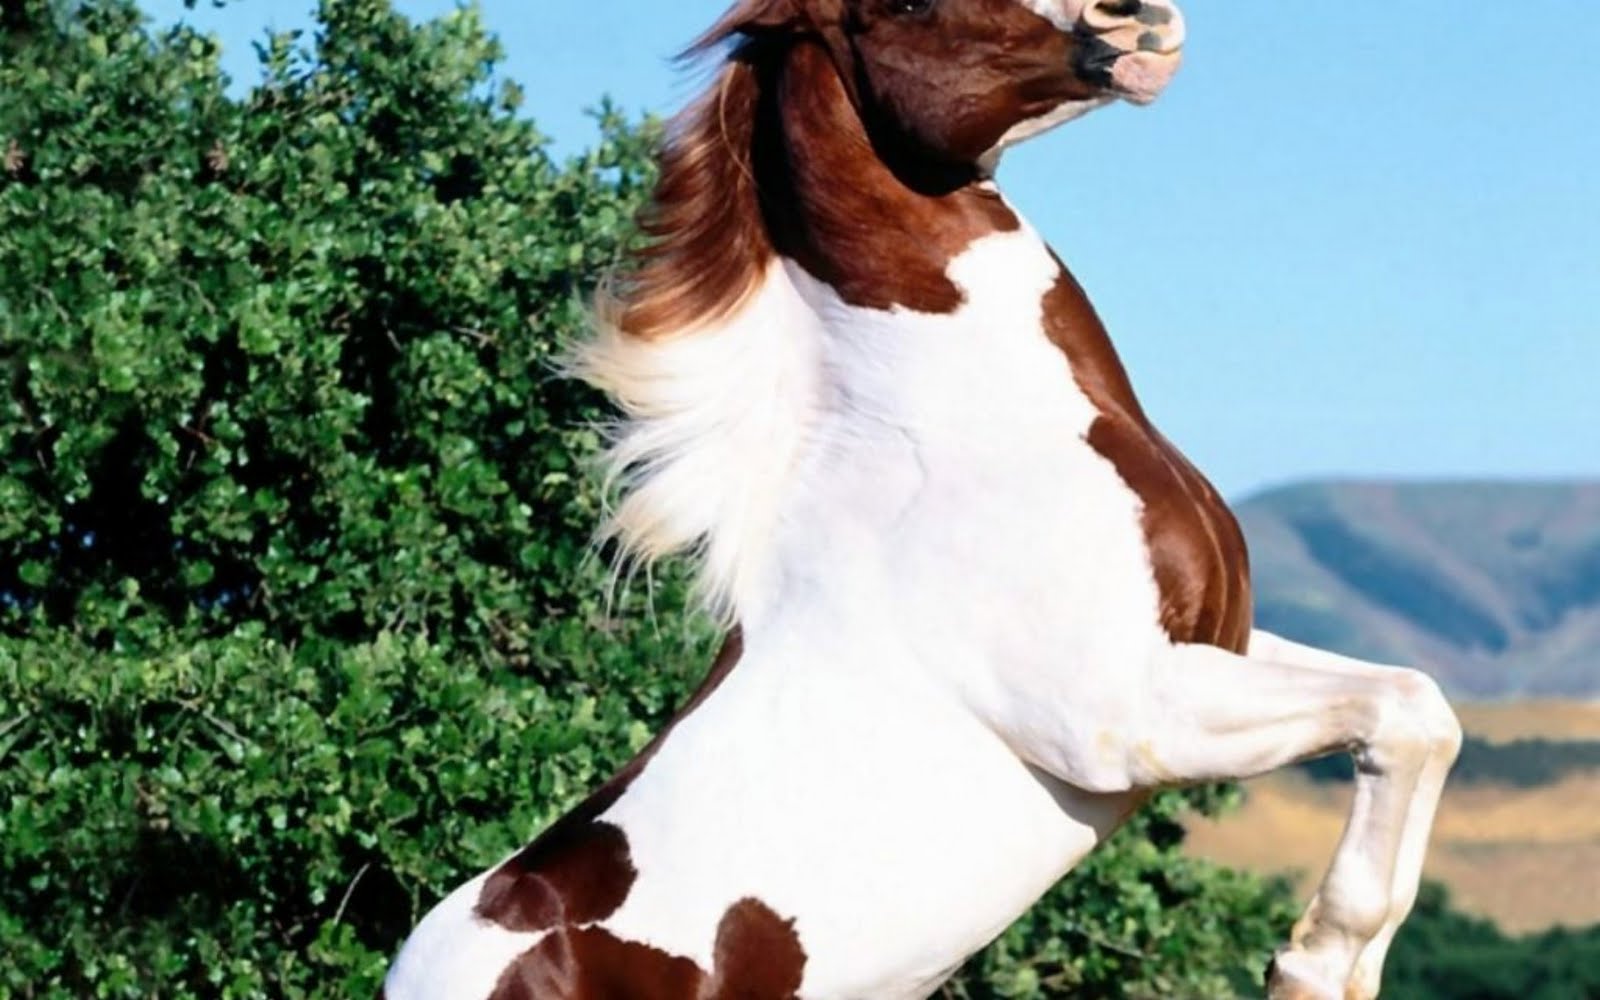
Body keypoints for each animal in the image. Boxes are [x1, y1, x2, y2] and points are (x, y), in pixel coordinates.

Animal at [385, 1, 1463, 997]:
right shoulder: (1131, 714)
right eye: (897, 6)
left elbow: (1424, 709)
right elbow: (1398, 716)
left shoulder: (1214, 644)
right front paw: (1314, 964)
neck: (963, 435)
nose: (1140, 21)